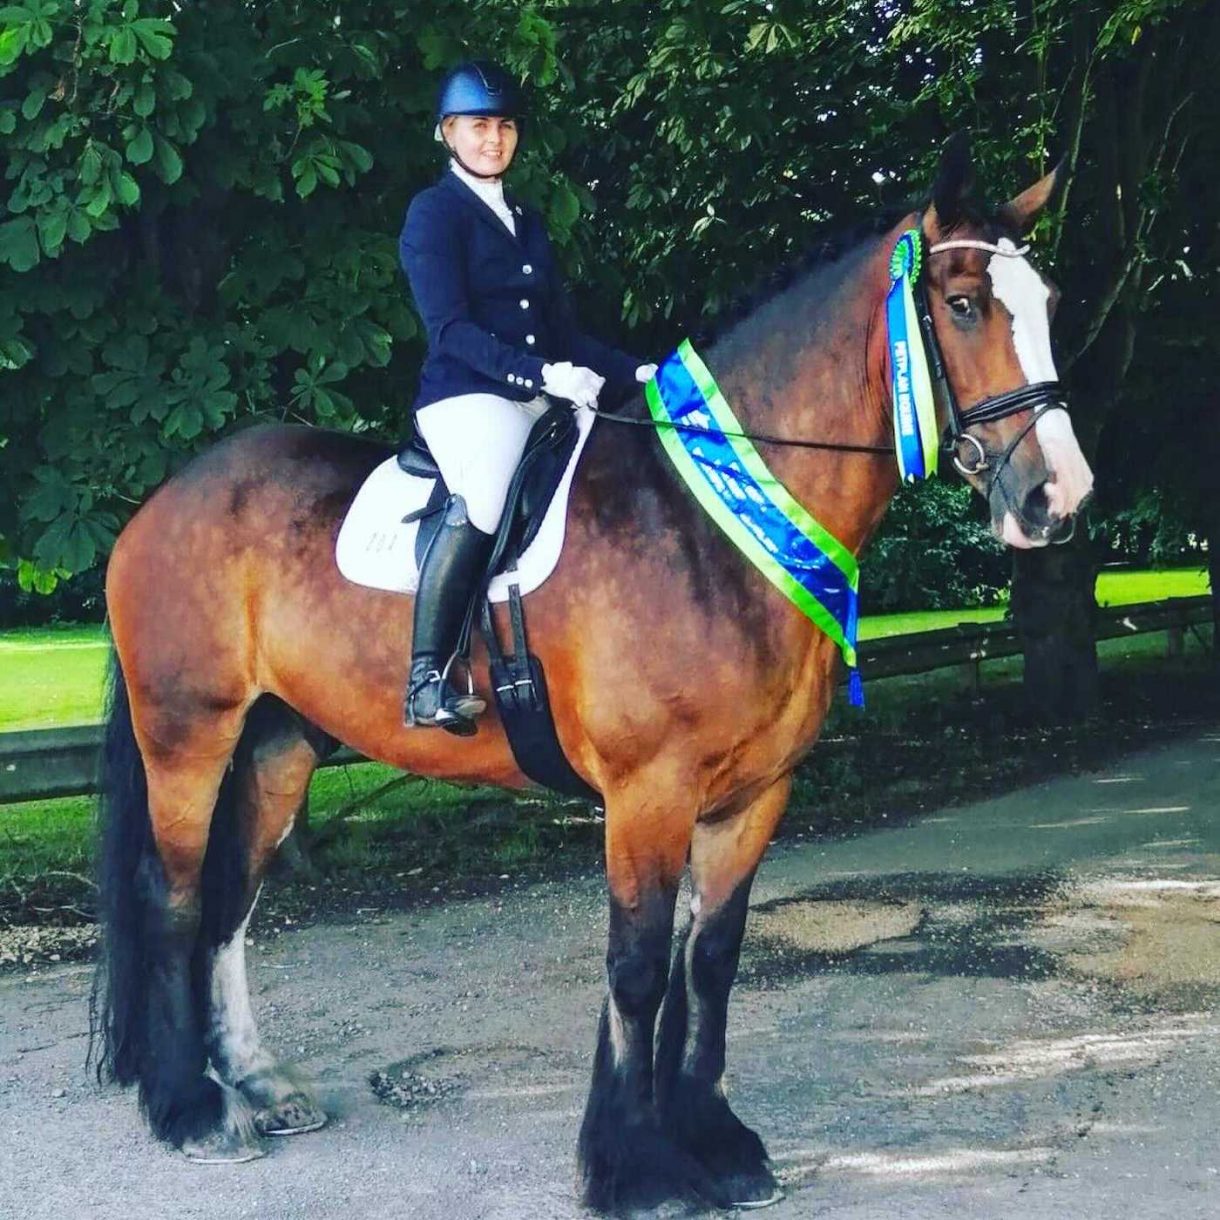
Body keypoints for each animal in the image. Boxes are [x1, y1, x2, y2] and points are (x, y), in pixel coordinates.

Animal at [91, 136, 1093, 1212]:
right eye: (963, 303)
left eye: (1047, 300)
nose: (1058, 496)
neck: (709, 522)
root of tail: (168, 498)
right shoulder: (647, 790)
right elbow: (638, 967)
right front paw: (634, 1164)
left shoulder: (754, 793)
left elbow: (711, 959)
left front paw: (716, 1143)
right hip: (188, 734)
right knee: (173, 895)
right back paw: (191, 1109)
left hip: (279, 744)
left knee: (233, 898)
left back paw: (257, 1081)